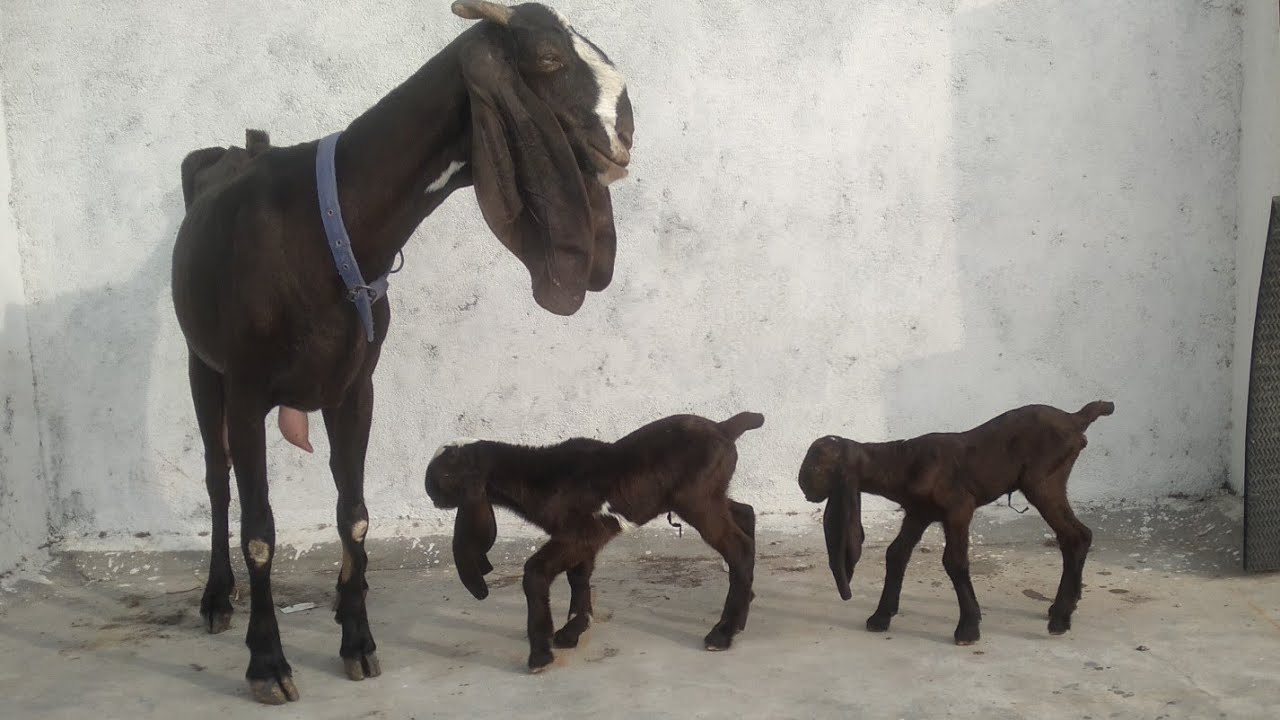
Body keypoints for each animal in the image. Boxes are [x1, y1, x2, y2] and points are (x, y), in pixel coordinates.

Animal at [170, 1, 634, 704]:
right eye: (548, 57)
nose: (626, 133)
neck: (325, 225)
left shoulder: (356, 387)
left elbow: (355, 517)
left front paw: (358, 641)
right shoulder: (248, 390)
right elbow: (260, 532)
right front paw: (268, 663)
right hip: (205, 367)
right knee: (217, 481)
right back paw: (218, 598)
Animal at [424, 412, 765, 673]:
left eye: (442, 476)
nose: (431, 495)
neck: (539, 476)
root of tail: (724, 427)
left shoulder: (581, 533)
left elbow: (535, 572)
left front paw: (541, 654)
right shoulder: (583, 538)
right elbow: (579, 576)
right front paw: (573, 628)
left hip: (697, 499)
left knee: (738, 546)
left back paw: (723, 632)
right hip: (708, 495)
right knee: (745, 514)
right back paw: (744, 606)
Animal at [797, 401, 1114, 645]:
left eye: (817, 466)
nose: (804, 488)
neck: (902, 462)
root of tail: (1075, 418)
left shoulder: (958, 508)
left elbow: (954, 562)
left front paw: (968, 628)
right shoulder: (918, 513)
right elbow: (896, 554)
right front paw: (881, 616)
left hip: (1044, 481)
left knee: (1075, 536)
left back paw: (1060, 618)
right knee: (1079, 536)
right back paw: (1066, 606)